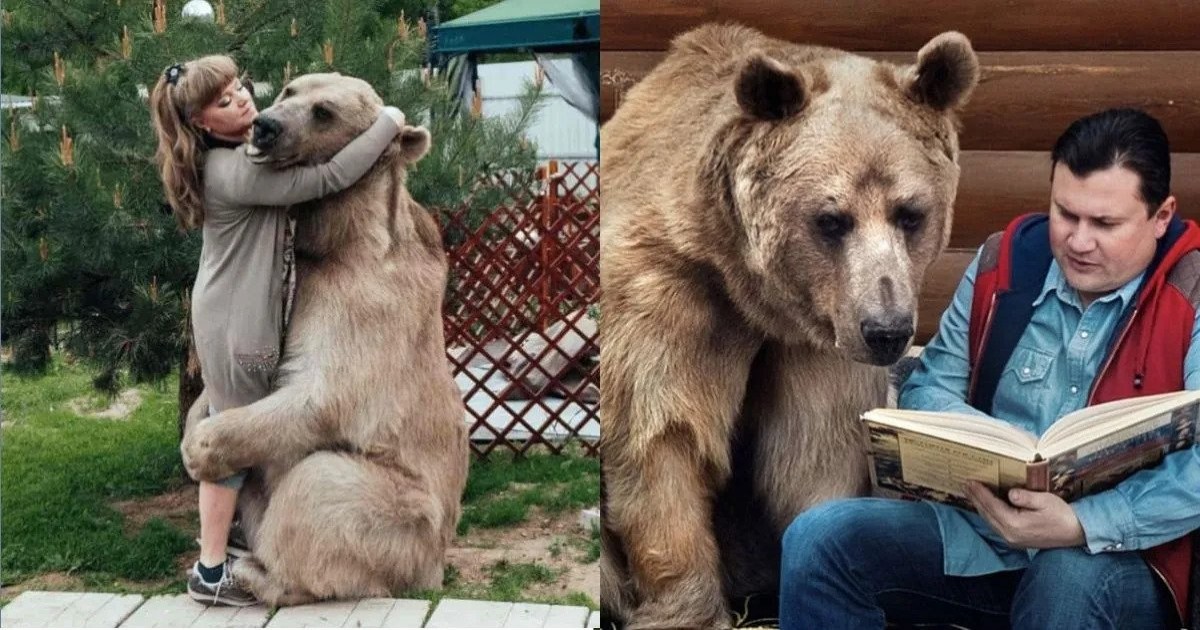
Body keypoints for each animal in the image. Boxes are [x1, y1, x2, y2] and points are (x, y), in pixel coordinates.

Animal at [599, 24, 979, 629]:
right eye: (831, 218)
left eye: (910, 212)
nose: (887, 330)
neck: (751, 293)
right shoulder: (666, 291)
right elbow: (663, 432)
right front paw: (690, 608)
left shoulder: (818, 343)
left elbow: (814, 448)